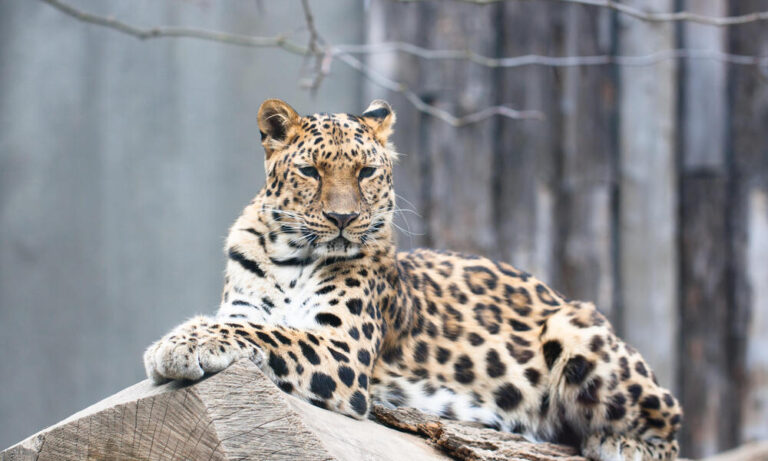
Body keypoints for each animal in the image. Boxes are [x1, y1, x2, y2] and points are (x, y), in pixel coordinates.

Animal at [143, 98, 682, 460]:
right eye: (311, 171)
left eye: (365, 172)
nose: (343, 219)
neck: (290, 257)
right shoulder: (252, 307)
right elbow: (251, 322)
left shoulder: (342, 349)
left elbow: (267, 332)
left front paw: (178, 344)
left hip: (576, 327)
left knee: (671, 422)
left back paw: (618, 443)